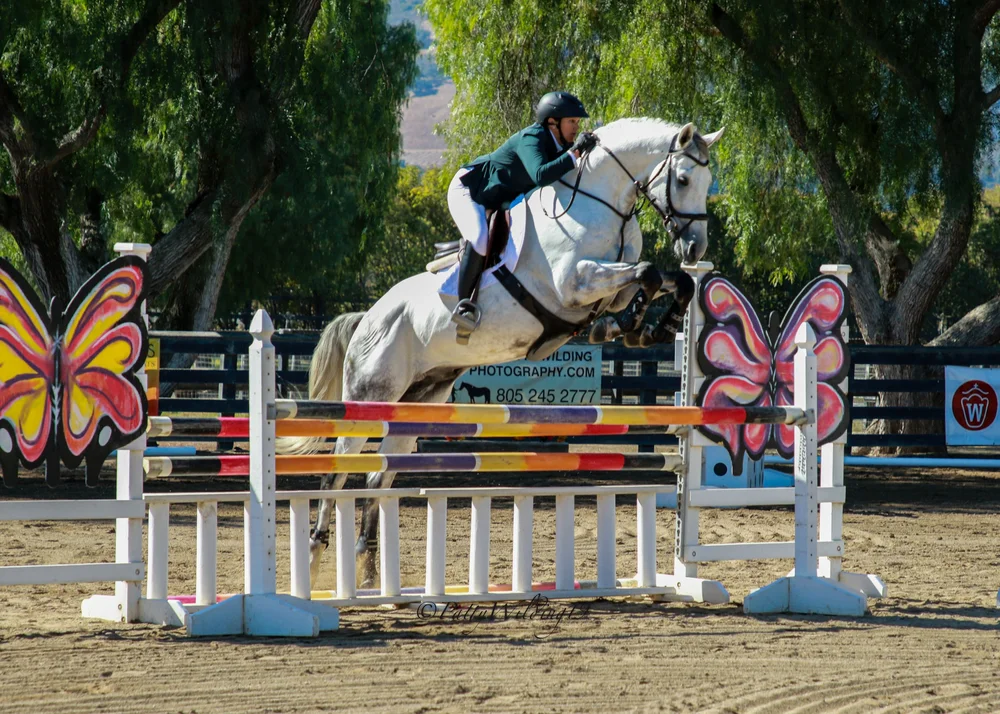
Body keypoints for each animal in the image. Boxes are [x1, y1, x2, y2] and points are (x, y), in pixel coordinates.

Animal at [279, 118, 724, 586]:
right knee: (336, 473)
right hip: (369, 397)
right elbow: (647, 272)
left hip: (417, 402)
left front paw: (650, 326)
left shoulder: (608, 288)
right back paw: (316, 556)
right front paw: (633, 324)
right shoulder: (574, 283)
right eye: (683, 179)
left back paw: (367, 574)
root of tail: (369, 316)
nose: (695, 248)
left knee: (376, 478)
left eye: (708, 181)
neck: (601, 202)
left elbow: (669, 279)